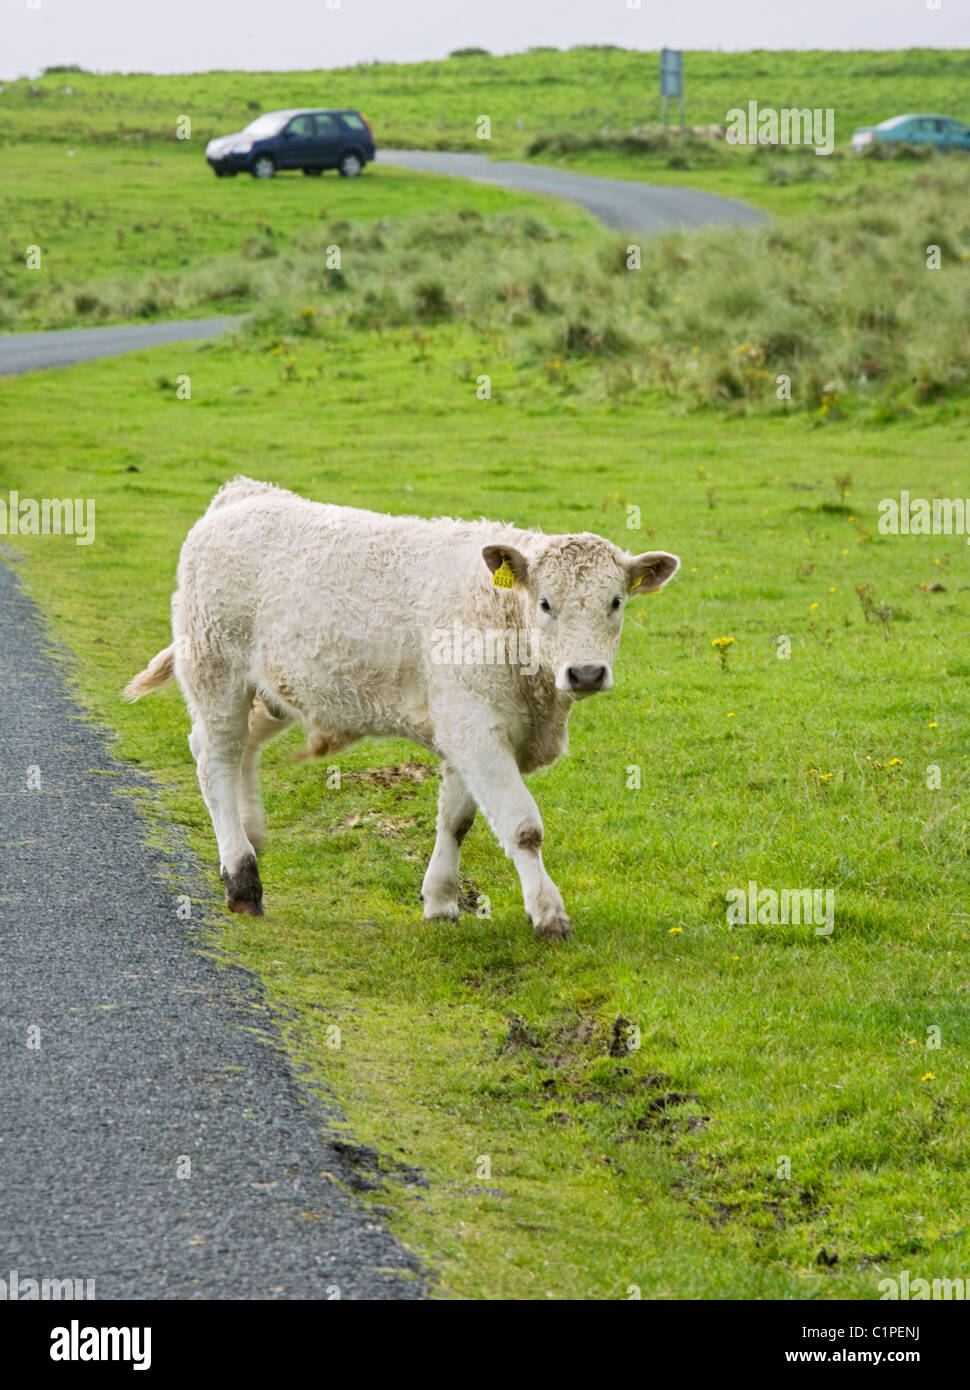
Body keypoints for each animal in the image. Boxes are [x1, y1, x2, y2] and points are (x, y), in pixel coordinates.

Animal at [124, 478, 679, 938]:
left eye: (615, 602)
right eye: (545, 604)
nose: (586, 673)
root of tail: (244, 493)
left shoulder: (463, 729)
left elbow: (455, 822)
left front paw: (441, 903)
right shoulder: (474, 727)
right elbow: (523, 828)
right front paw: (548, 914)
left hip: (273, 687)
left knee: (244, 748)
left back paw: (251, 837)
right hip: (214, 667)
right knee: (214, 756)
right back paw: (242, 879)